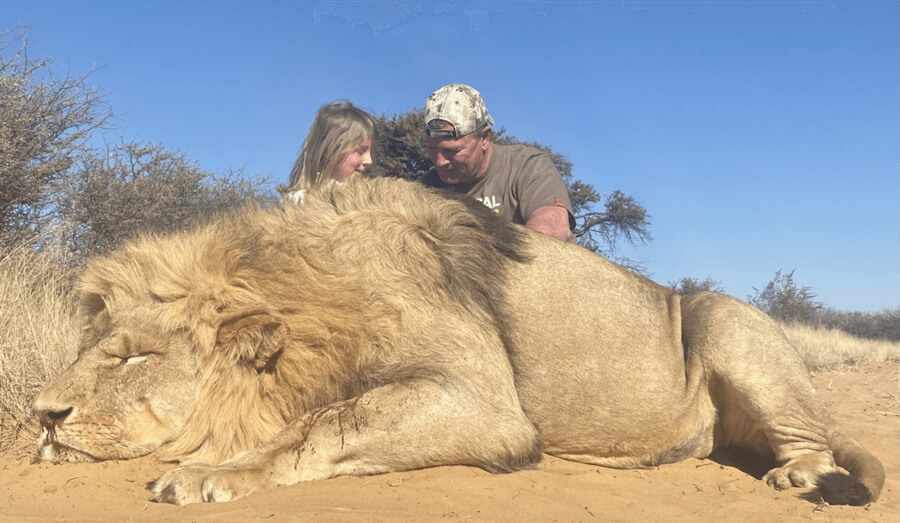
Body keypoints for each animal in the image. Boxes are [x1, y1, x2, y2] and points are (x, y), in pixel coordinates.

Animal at [32, 176, 884, 506]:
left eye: (133, 354)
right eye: (90, 345)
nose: (41, 415)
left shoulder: (485, 405)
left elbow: (324, 421)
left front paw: (210, 469)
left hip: (729, 320)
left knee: (811, 439)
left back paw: (799, 476)